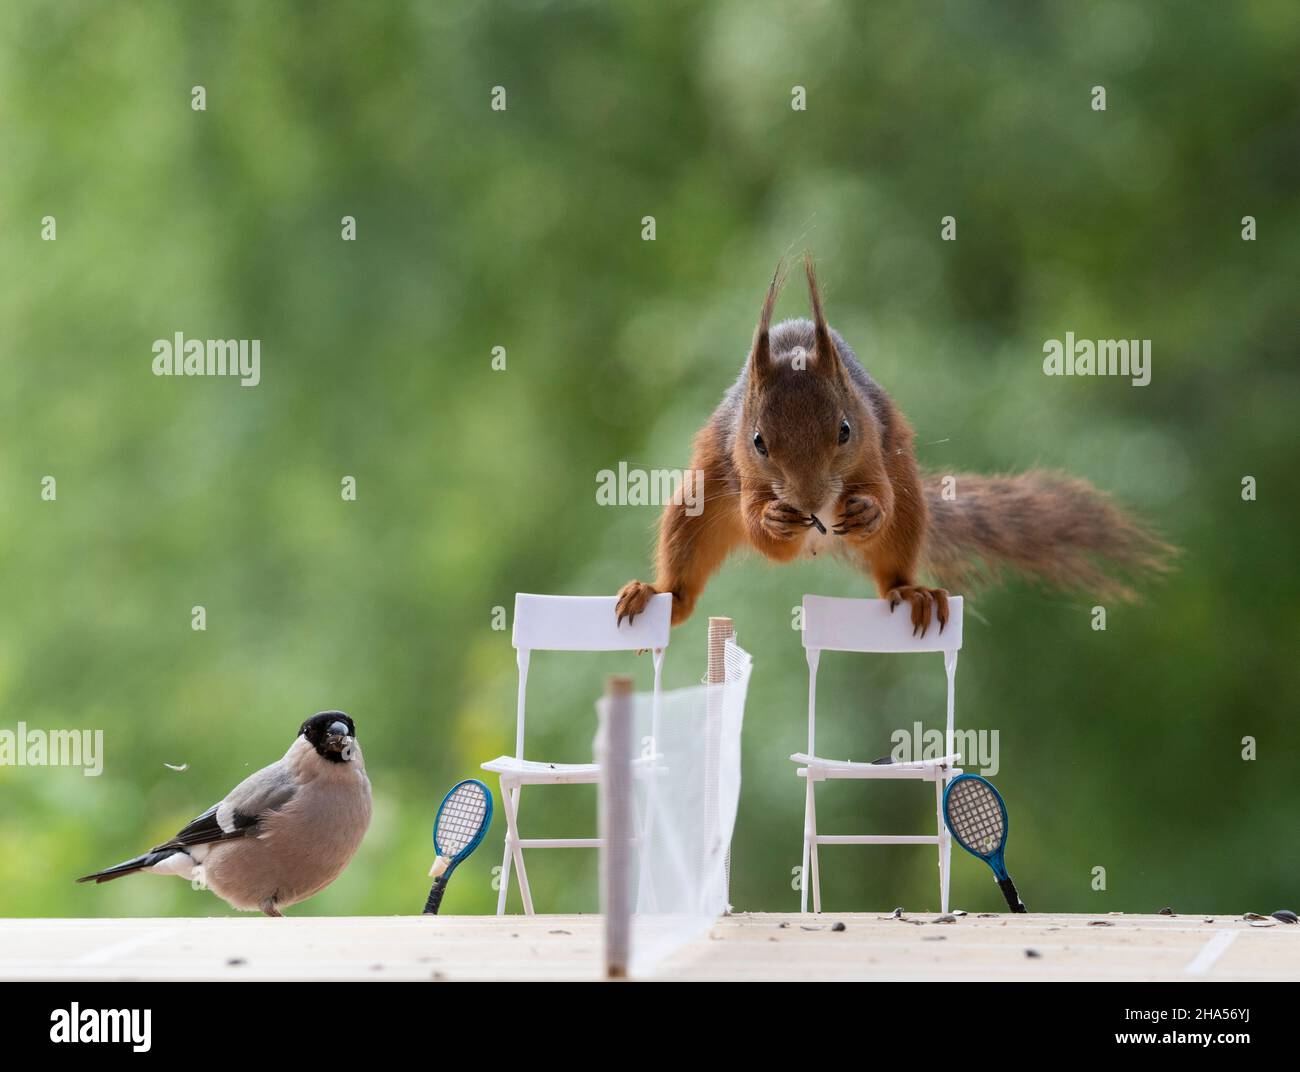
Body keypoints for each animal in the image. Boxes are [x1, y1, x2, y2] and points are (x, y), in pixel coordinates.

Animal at [616, 255, 1171, 635]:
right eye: (757, 442)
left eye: (845, 429)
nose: (810, 502)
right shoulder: (737, 465)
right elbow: (761, 529)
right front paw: (773, 519)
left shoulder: (874, 446)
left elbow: (877, 494)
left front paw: (867, 512)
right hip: (697, 507)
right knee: (684, 576)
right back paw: (657, 594)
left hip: (908, 509)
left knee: (892, 569)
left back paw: (913, 592)